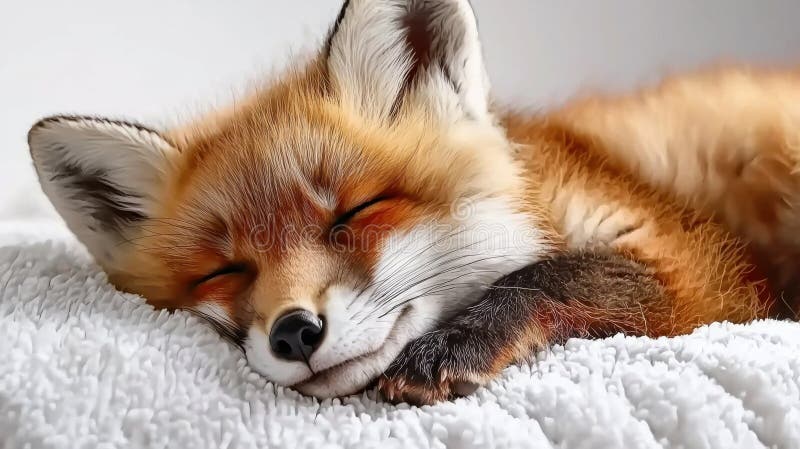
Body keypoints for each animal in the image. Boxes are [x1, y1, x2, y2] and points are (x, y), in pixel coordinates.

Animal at [27, 0, 800, 405]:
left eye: (353, 214)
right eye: (225, 271)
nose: (293, 333)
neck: (538, 186)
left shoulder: (704, 277)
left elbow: (547, 274)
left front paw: (452, 344)